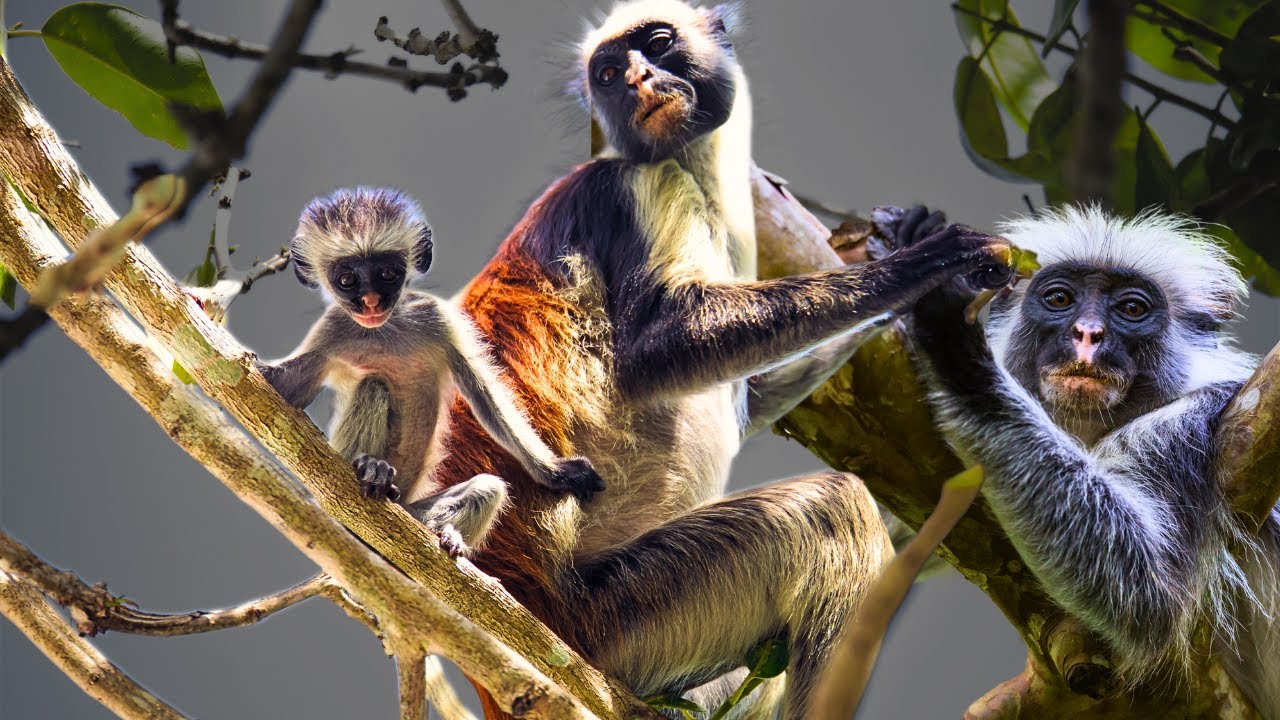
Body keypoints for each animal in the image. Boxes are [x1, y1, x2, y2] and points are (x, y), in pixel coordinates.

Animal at [255, 186, 606, 555]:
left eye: (387, 274)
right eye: (347, 280)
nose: (370, 301)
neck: (385, 330)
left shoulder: (434, 316)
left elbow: (482, 393)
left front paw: (557, 473)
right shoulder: (331, 330)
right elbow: (286, 389)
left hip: (413, 512)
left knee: (487, 488)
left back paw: (447, 535)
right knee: (373, 386)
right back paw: (367, 468)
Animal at [904, 205, 1280, 715]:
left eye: (1132, 309)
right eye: (1060, 298)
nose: (1088, 334)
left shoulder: (1201, 414)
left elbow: (1149, 596)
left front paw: (956, 349)